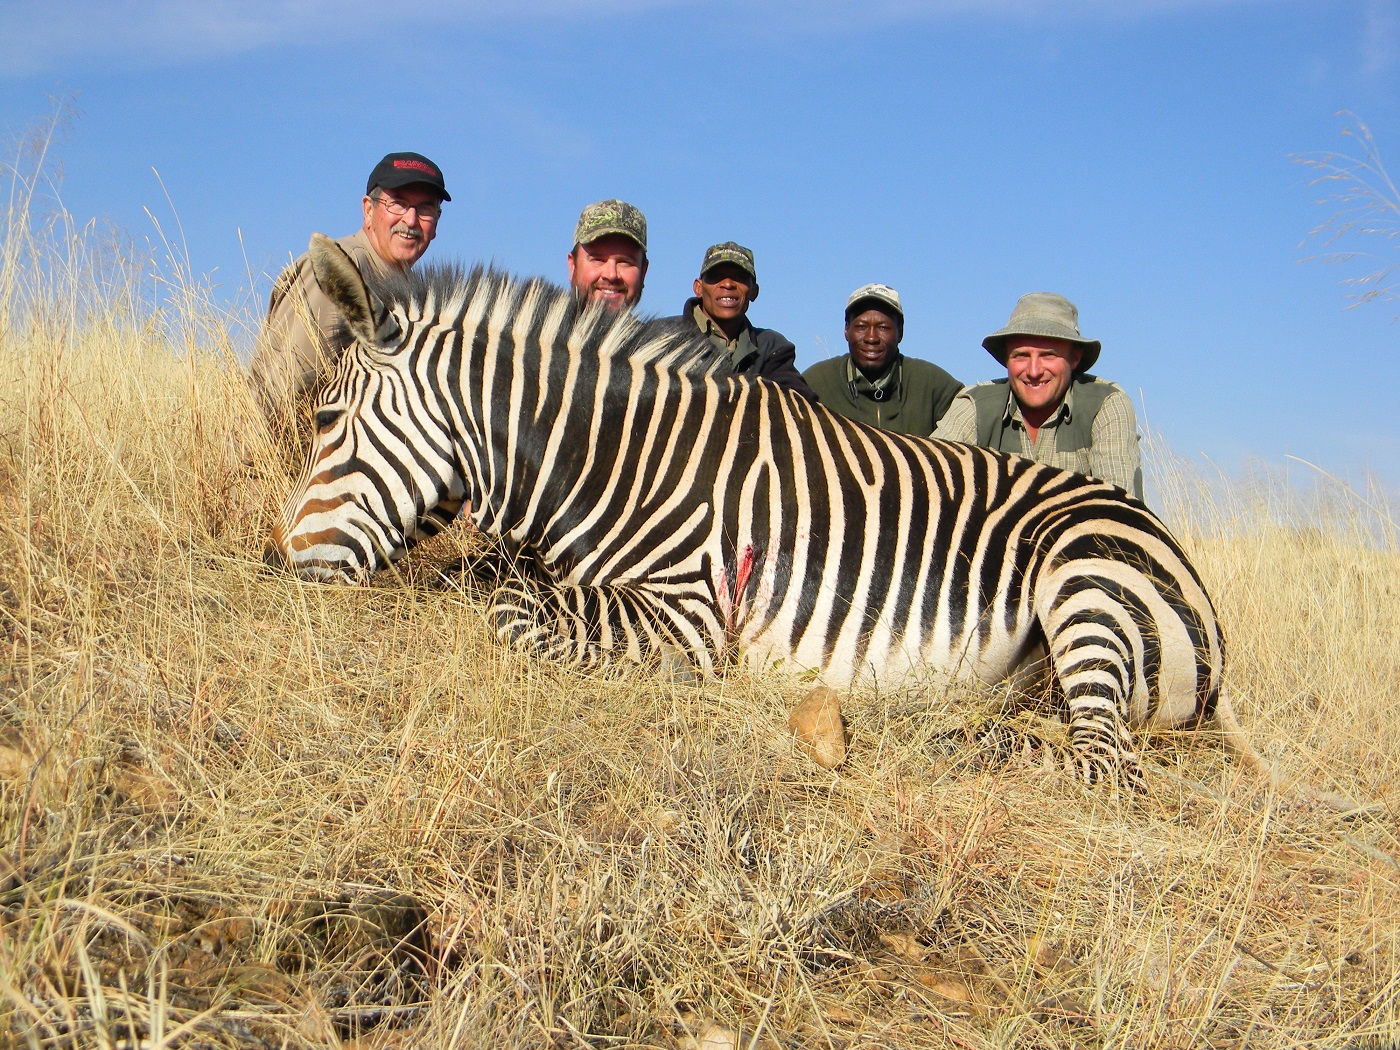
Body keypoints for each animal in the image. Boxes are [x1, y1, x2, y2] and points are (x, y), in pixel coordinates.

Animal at [266, 233, 1235, 794]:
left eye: (327, 420)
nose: (280, 563)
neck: (622, 460)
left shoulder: (694, 610)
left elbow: (510, 609)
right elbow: (491, 582)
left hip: (1083, 582)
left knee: (1103, 761)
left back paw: (957, 744)